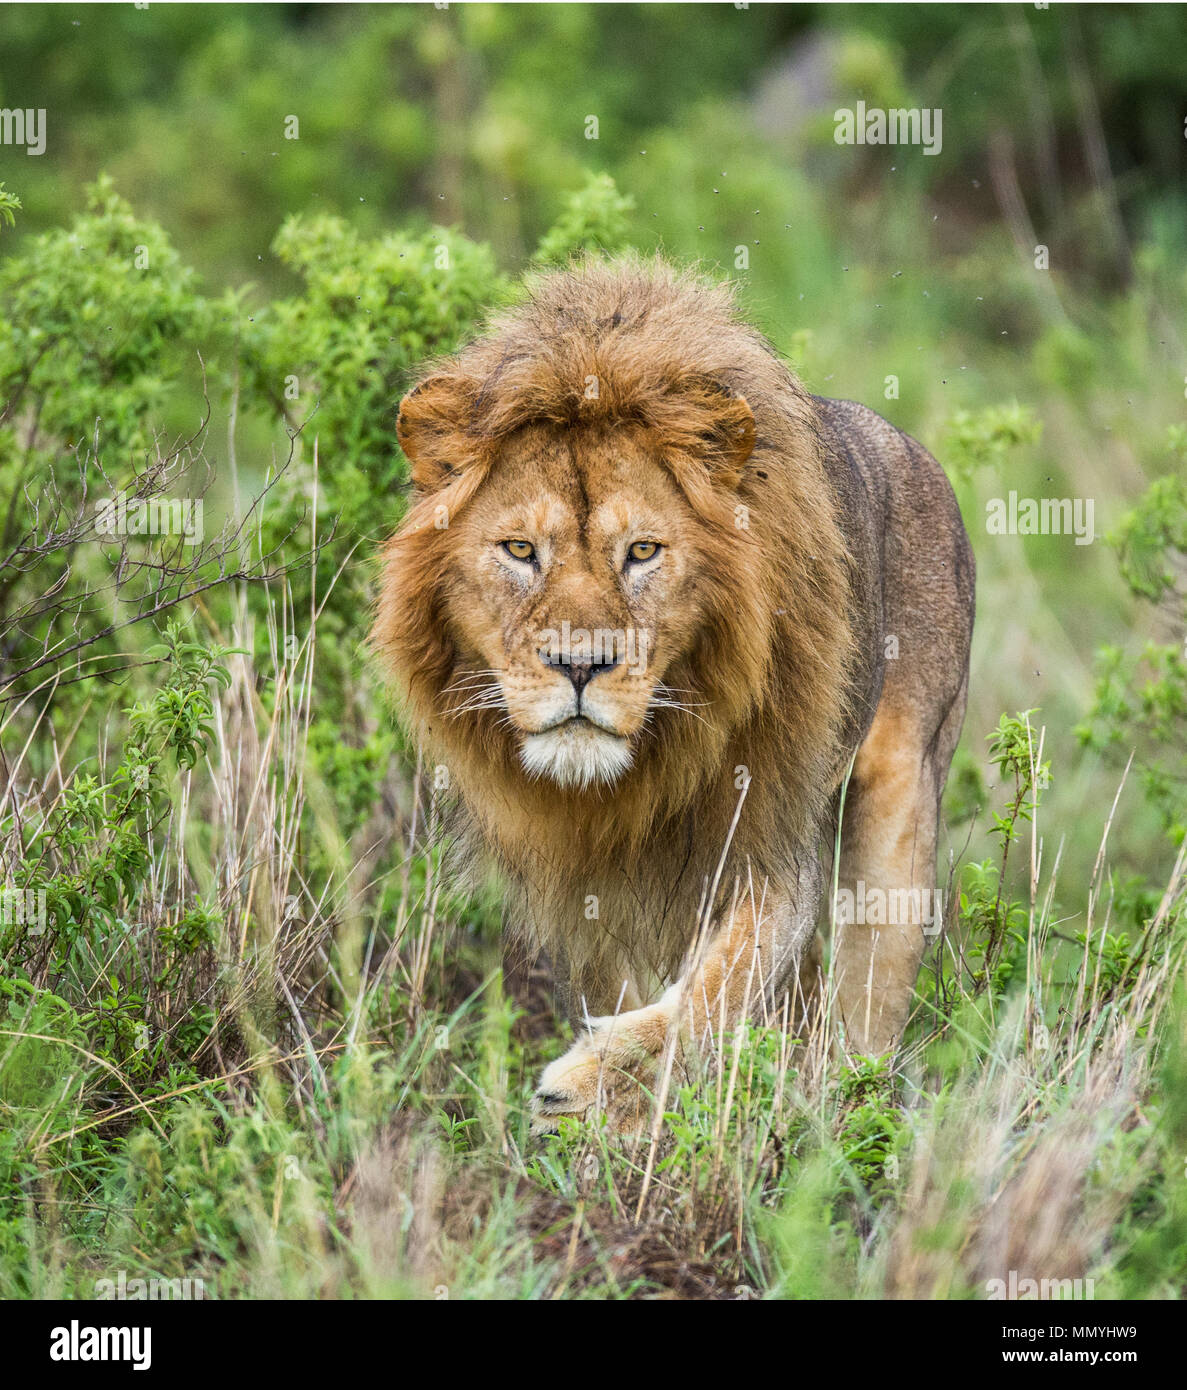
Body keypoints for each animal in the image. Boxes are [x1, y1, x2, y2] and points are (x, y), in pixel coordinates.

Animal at [373, 256, 974, 1133]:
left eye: (643, 552)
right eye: (519, 550)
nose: (579, 665)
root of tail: (912, 448)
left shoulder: (770, 842)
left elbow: (716, 987)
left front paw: (586, 1081)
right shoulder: (593, 890)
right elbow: (644, 990)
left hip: (902, 808)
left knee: (864, 1007)